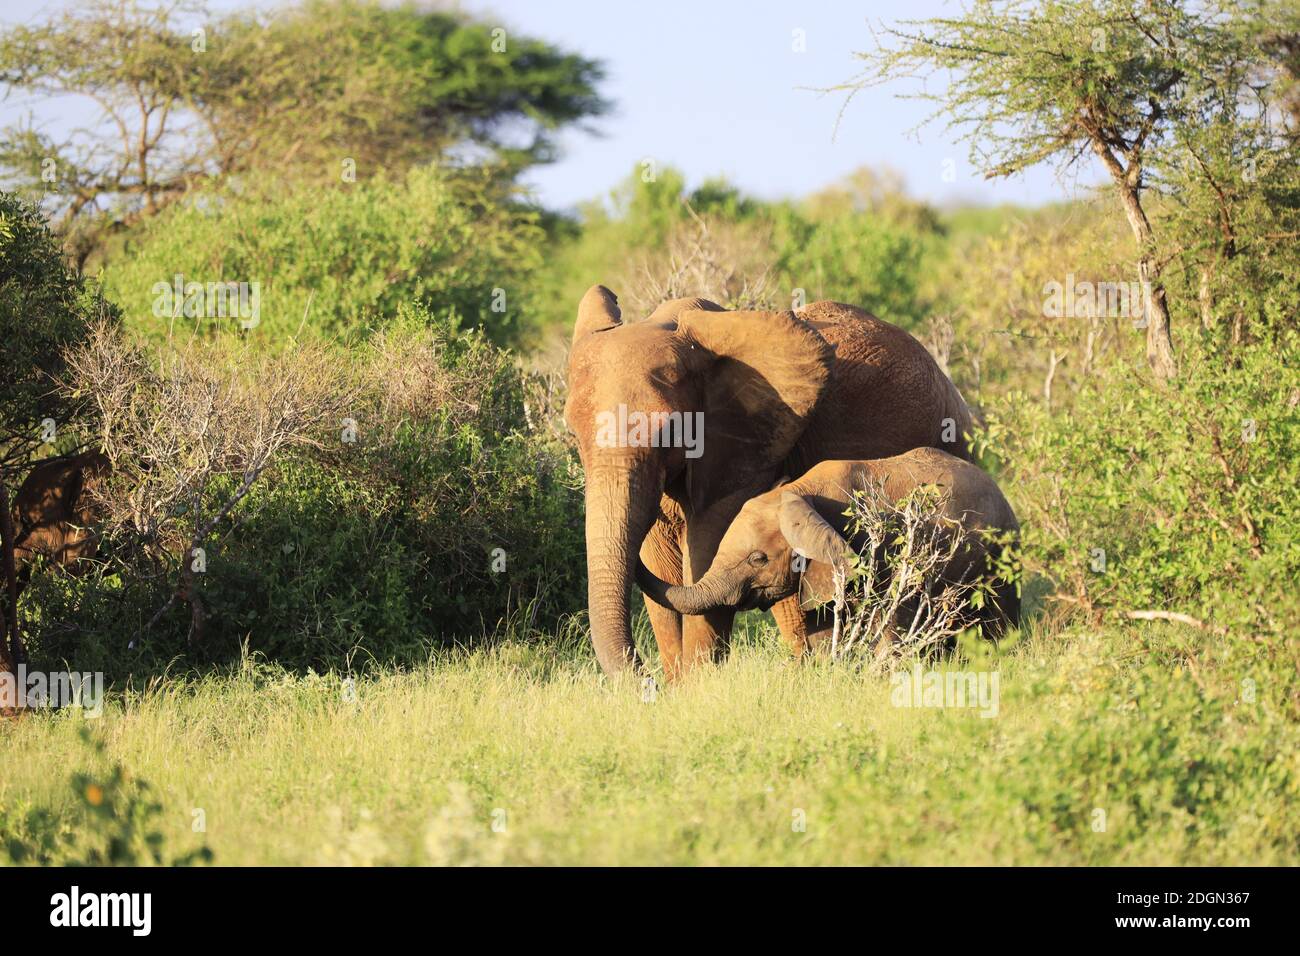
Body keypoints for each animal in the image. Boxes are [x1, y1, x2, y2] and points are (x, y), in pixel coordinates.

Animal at [563, 284, 973, 679]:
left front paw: (697, 689)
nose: (646, 682)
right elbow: (659, 562)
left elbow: (707, 550)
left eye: (670, 432)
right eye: (574, 436)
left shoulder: (744, 445)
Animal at [636, 448, 1021, 650]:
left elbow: (892, 621)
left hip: (1002, 554)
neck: (798, 491)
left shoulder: (881, 549)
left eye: (758, 559)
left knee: (999, 618)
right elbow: (820, 624)